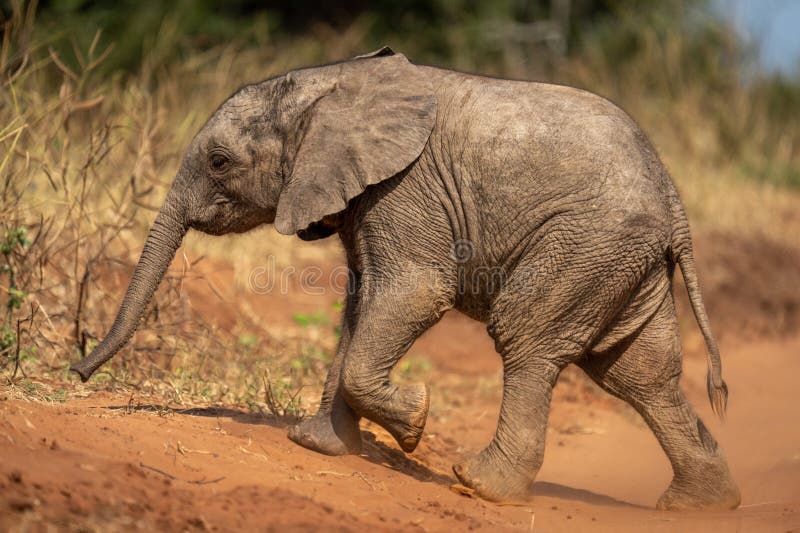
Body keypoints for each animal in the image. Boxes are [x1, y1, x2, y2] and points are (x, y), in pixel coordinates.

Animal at [71, 47, 740, 510]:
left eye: (219, 162)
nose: (75, 370)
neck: (330, 83)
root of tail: (672, 196)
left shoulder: (407, 186)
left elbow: (413, 292)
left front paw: (415, 421)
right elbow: (359, 306)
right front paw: (316, 444)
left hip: (586, 243)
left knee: (529, 340)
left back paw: (479, 484)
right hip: (624, 259)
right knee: (638, 373)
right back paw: (699, 505)